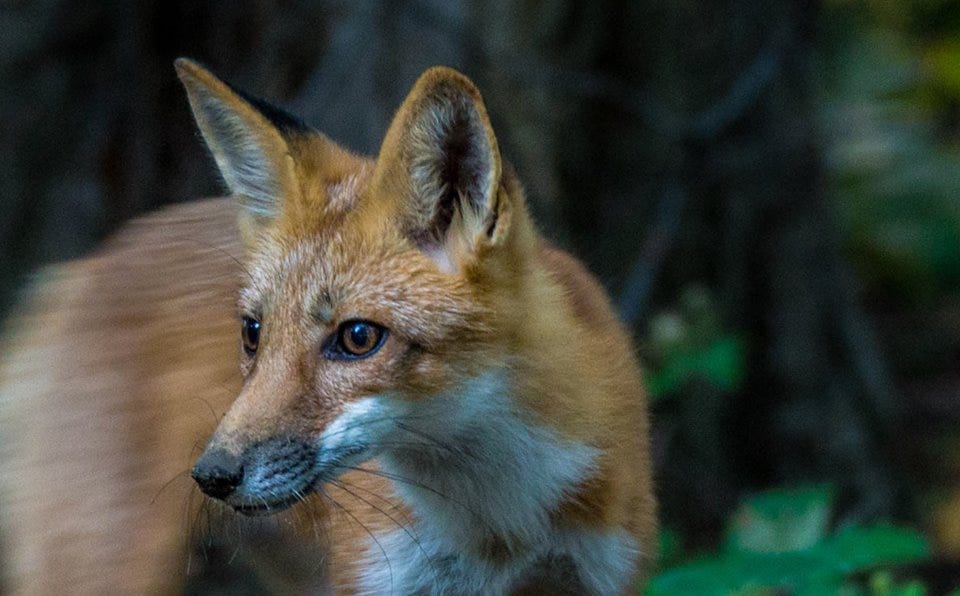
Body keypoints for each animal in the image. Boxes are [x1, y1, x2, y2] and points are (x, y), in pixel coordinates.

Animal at [0, 59, 656, 593]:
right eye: (253, 332)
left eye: (358, 338)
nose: (211, 476)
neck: (502, 528)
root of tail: (78, 271)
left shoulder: (602, 572)